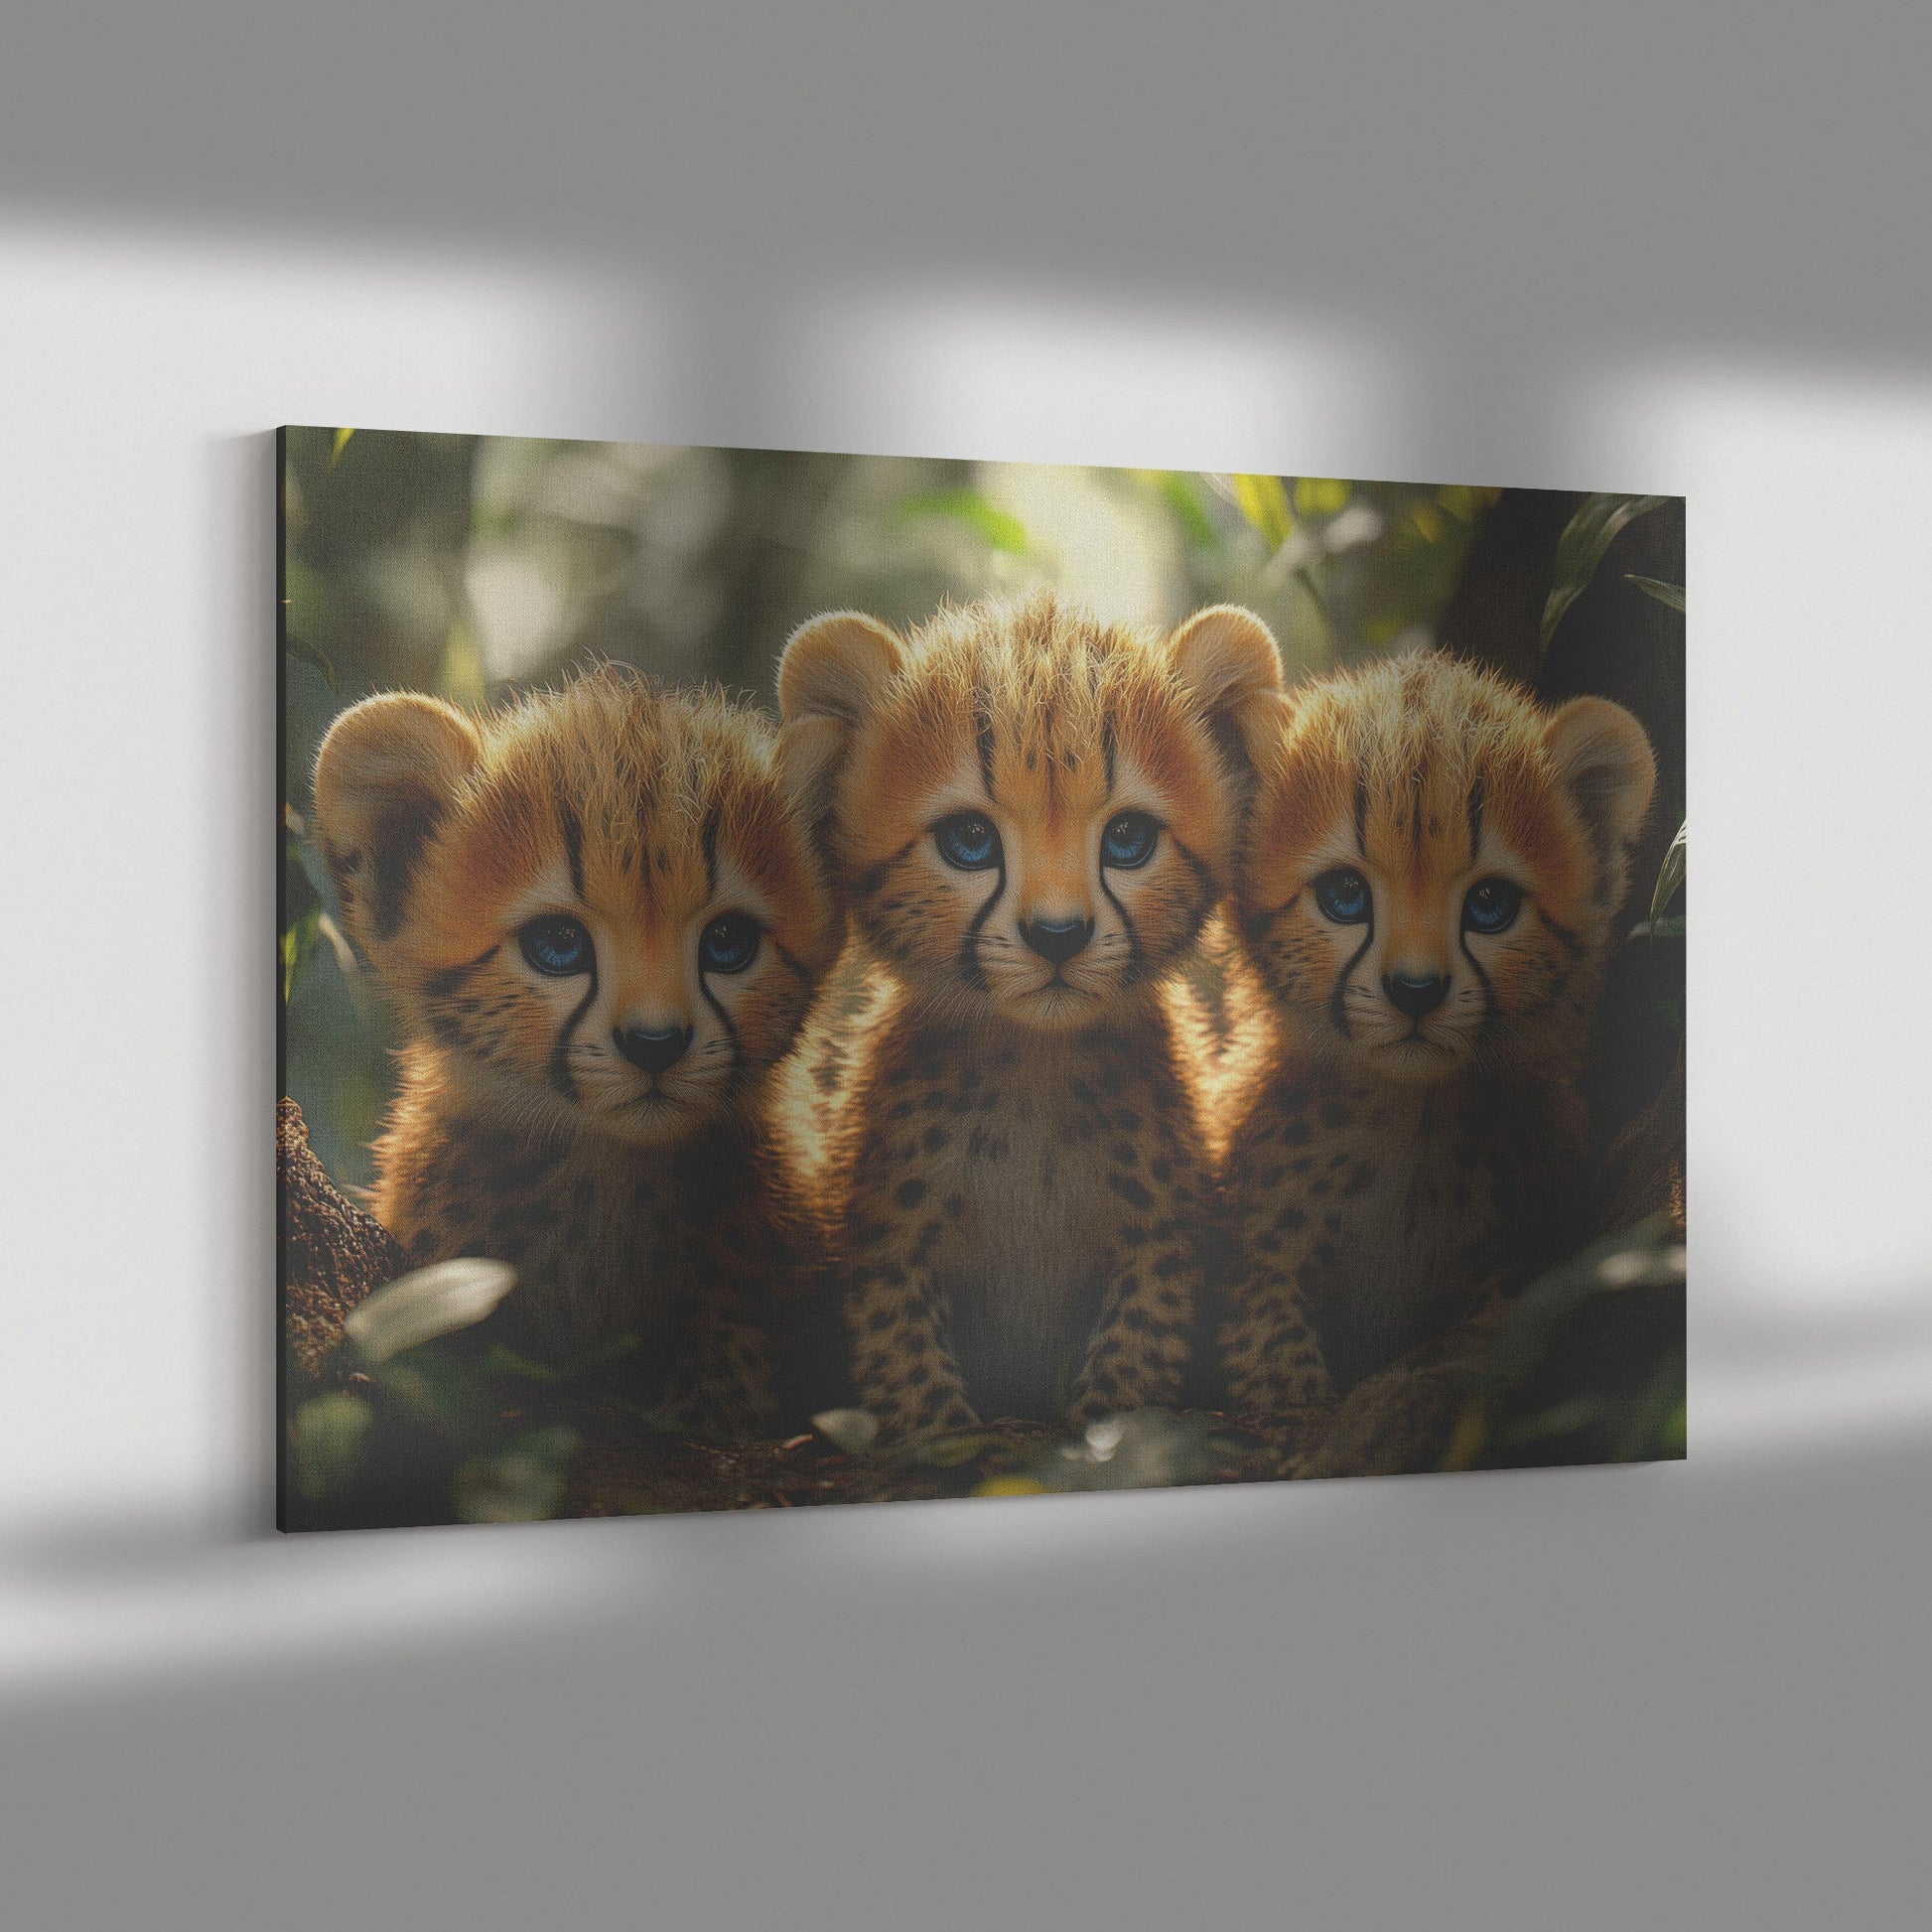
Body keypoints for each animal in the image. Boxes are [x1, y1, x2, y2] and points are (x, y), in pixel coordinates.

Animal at [777, 592, 1288, 1437]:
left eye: (1128, 838)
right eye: (969, 839)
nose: (1057, 935)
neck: (1033, 1066)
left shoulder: (1162, 1247)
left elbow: (1131, 1362)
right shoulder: (886, 1252)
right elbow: (912, 1376)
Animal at [1217, 648, 1657, 1412]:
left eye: (1489, 904)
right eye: (1344, 895)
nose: (1415, 991)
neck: (1410, 1122)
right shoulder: (1257, 1267)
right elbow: (1271, 1358)